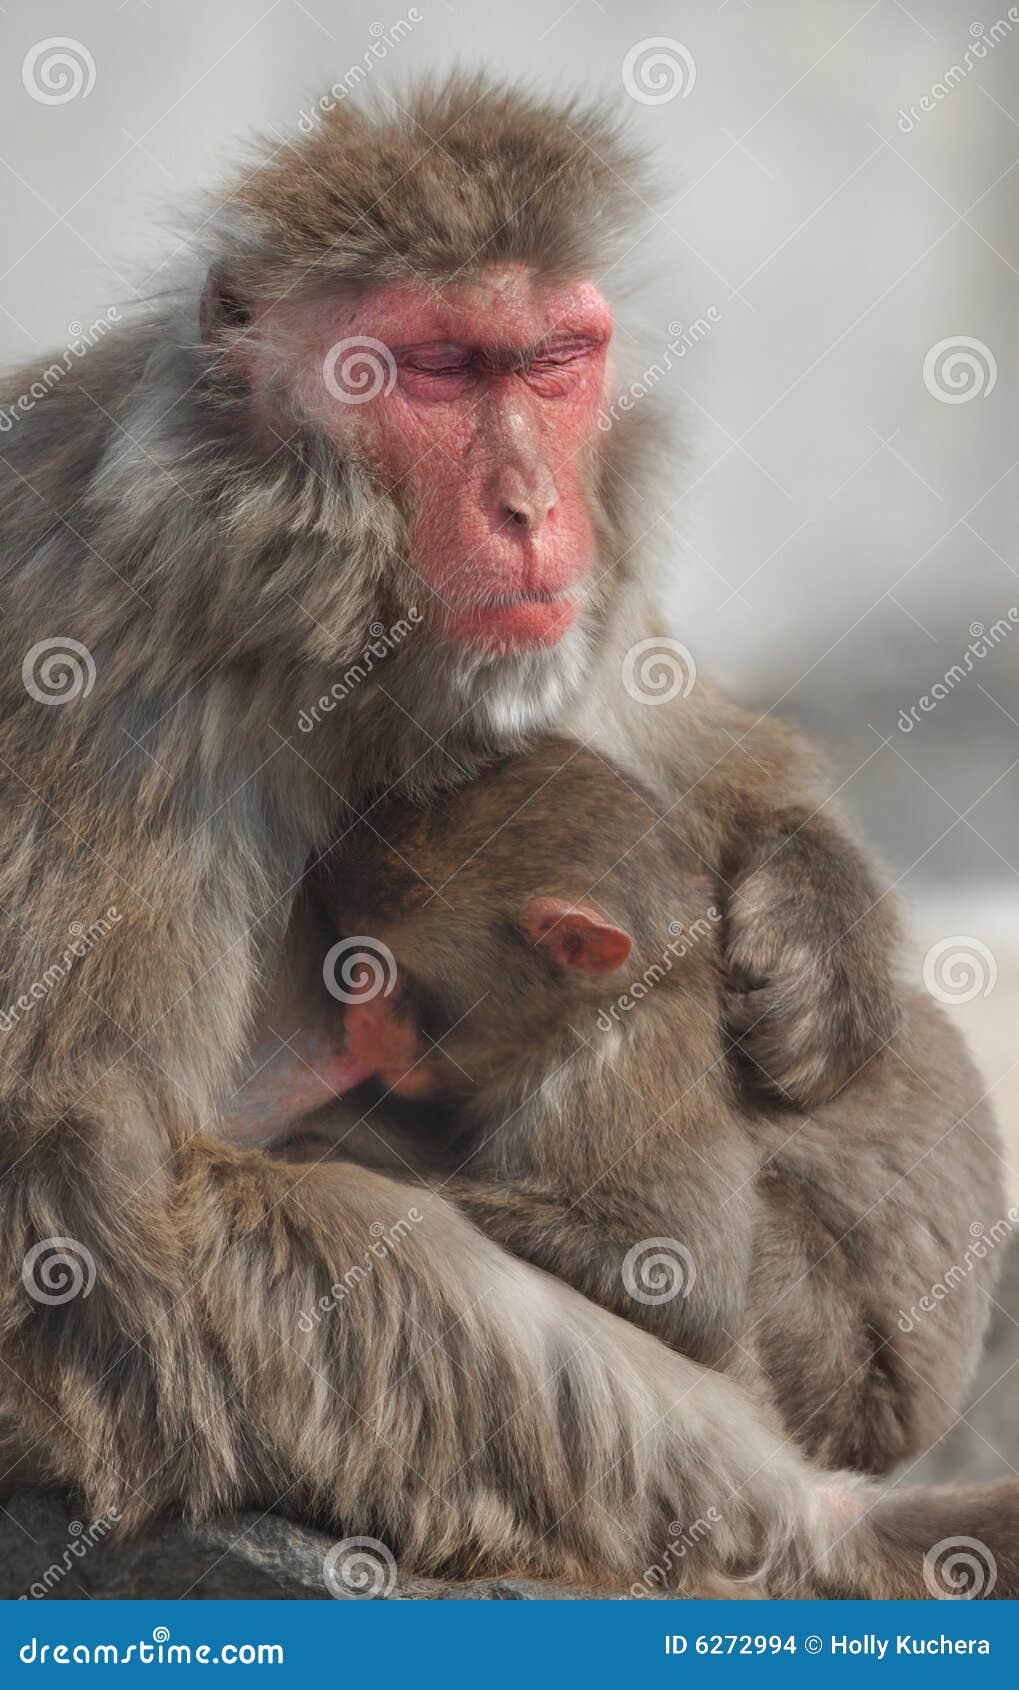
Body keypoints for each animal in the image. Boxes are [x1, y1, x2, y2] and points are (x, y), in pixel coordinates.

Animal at [0, 75, 990, 1596]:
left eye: (551, 362)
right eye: (436, 370)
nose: (532, 508)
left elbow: (679, 751)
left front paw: (813, 922)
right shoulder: (96, 665)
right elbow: (93, 1216)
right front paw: (797, 1516)